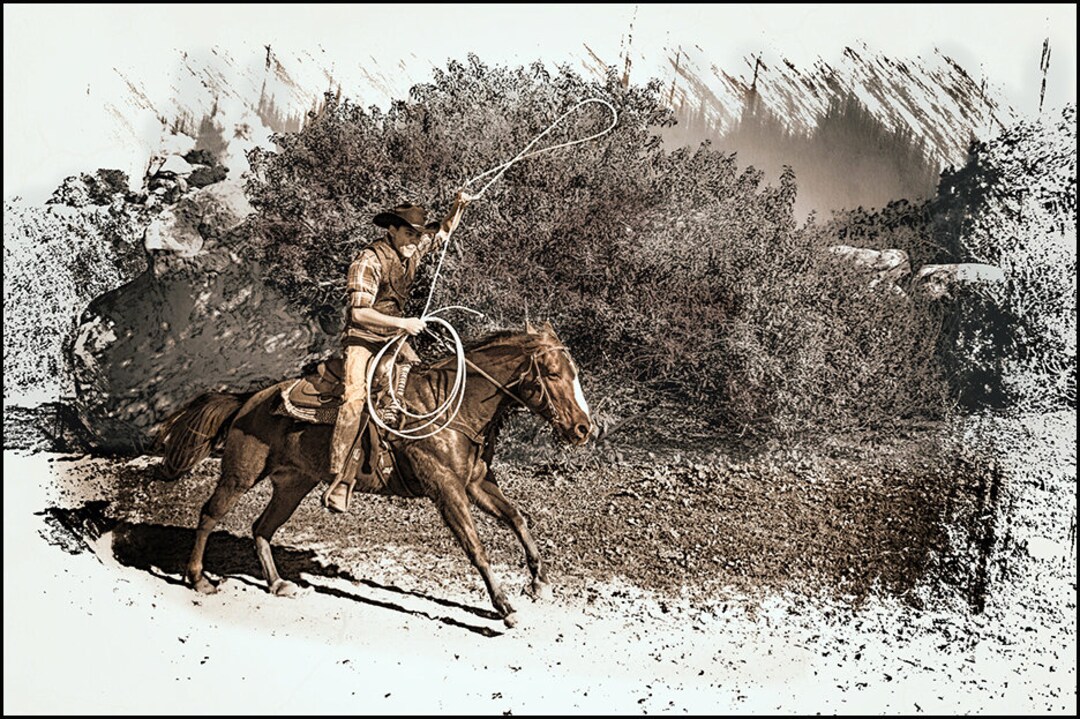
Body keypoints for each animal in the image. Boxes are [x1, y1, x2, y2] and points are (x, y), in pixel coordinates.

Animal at [156, 321, 592, 627]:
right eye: (553, 372)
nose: (584, 428)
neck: (451, 407)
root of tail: (248, 400)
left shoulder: (476, 483)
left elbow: (517, 518)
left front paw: (538, 581)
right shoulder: (447, 489)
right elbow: (475, 546)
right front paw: (503, 607)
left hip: (293, 484)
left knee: (262, 528)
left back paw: (278, 583)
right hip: (240, 474)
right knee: (210, 514)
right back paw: (198, 578)